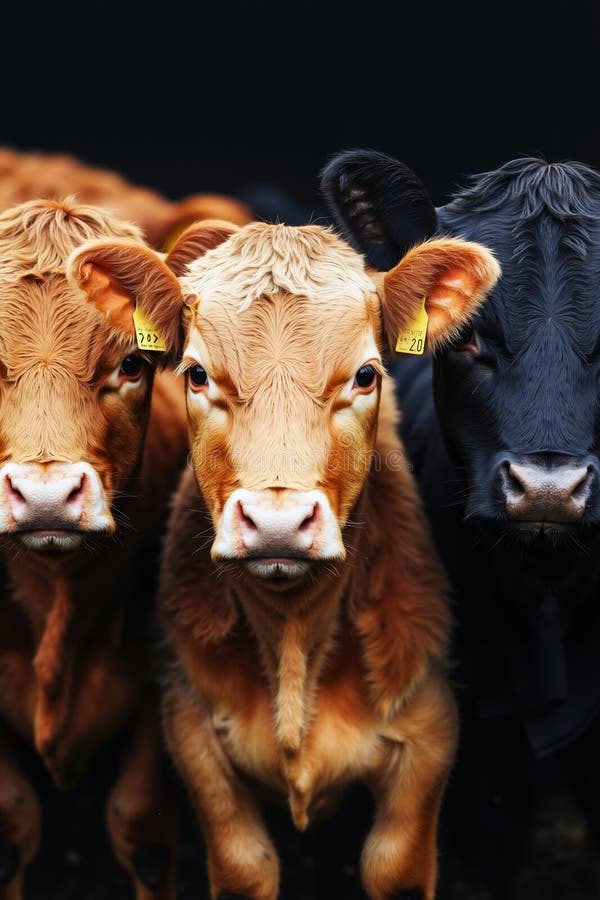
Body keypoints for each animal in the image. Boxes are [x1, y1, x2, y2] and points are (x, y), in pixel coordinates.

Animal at [151, 218, 500, 900]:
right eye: (196, 374)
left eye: (366, 375)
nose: (277, 522)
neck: (291, 638)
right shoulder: (187, 721)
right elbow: (242, 863)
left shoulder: (430, 727)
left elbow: (394, 867)